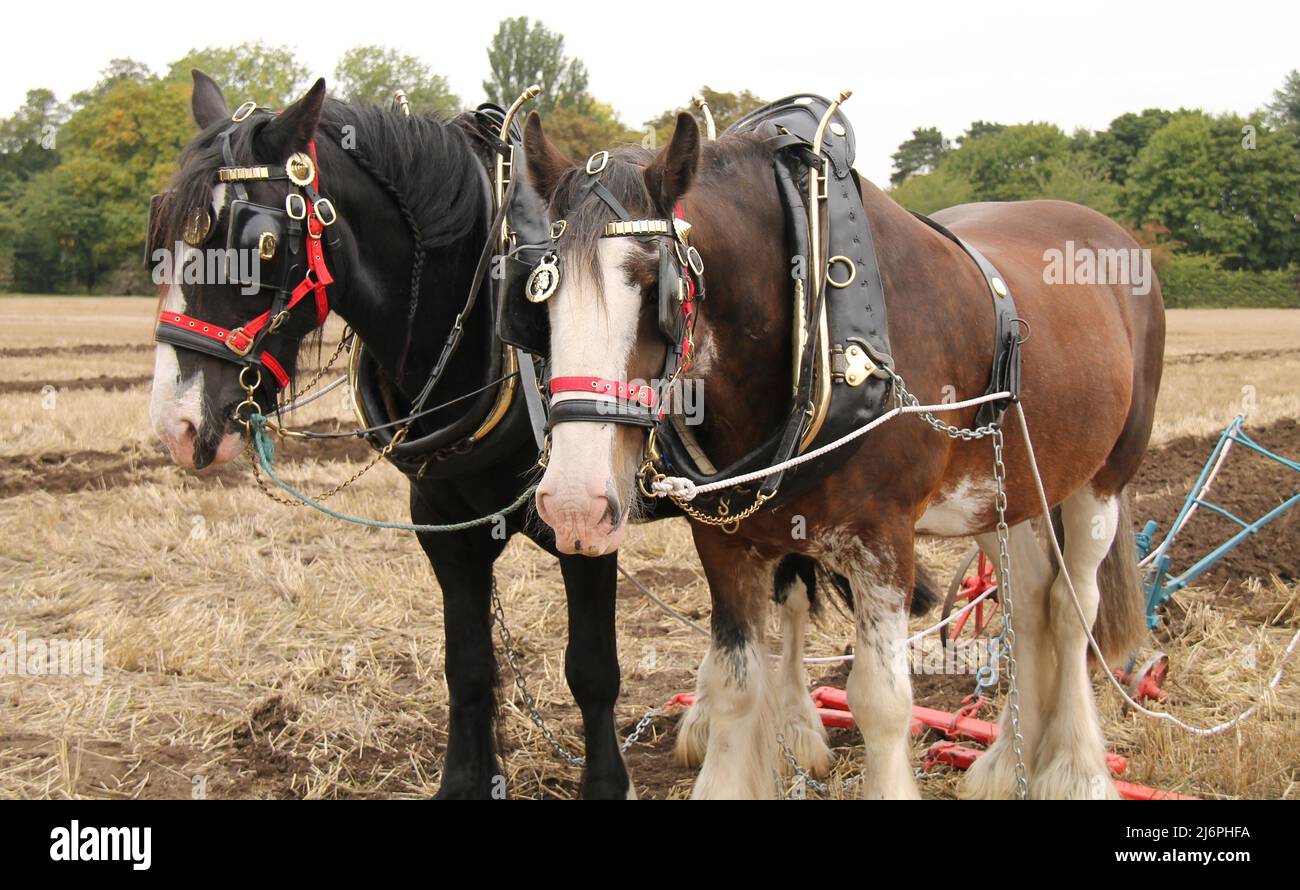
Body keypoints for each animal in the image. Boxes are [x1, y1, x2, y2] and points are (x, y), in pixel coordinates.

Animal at [146, 72, 859, 798]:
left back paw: (798, 727)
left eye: (260, 243)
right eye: (163, 237)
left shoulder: (587, 517)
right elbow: (467, 665)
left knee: (789, 595)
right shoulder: (441, 521)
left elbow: (592, 667)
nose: (177, 424)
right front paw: (466, 778)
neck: (477, 325)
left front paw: (607, 783)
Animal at [522, 107, 1165, 799]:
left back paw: (1074, 768)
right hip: (1003, 490)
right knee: (1028, 603)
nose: (573, 505)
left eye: (654, 289)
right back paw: (1005, 763)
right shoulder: (723, 543)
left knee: (1073, 610)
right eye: (541, 293)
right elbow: (733, 686)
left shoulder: (884, 542)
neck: (814, 318)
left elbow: (880, 701)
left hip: (1104, 477)